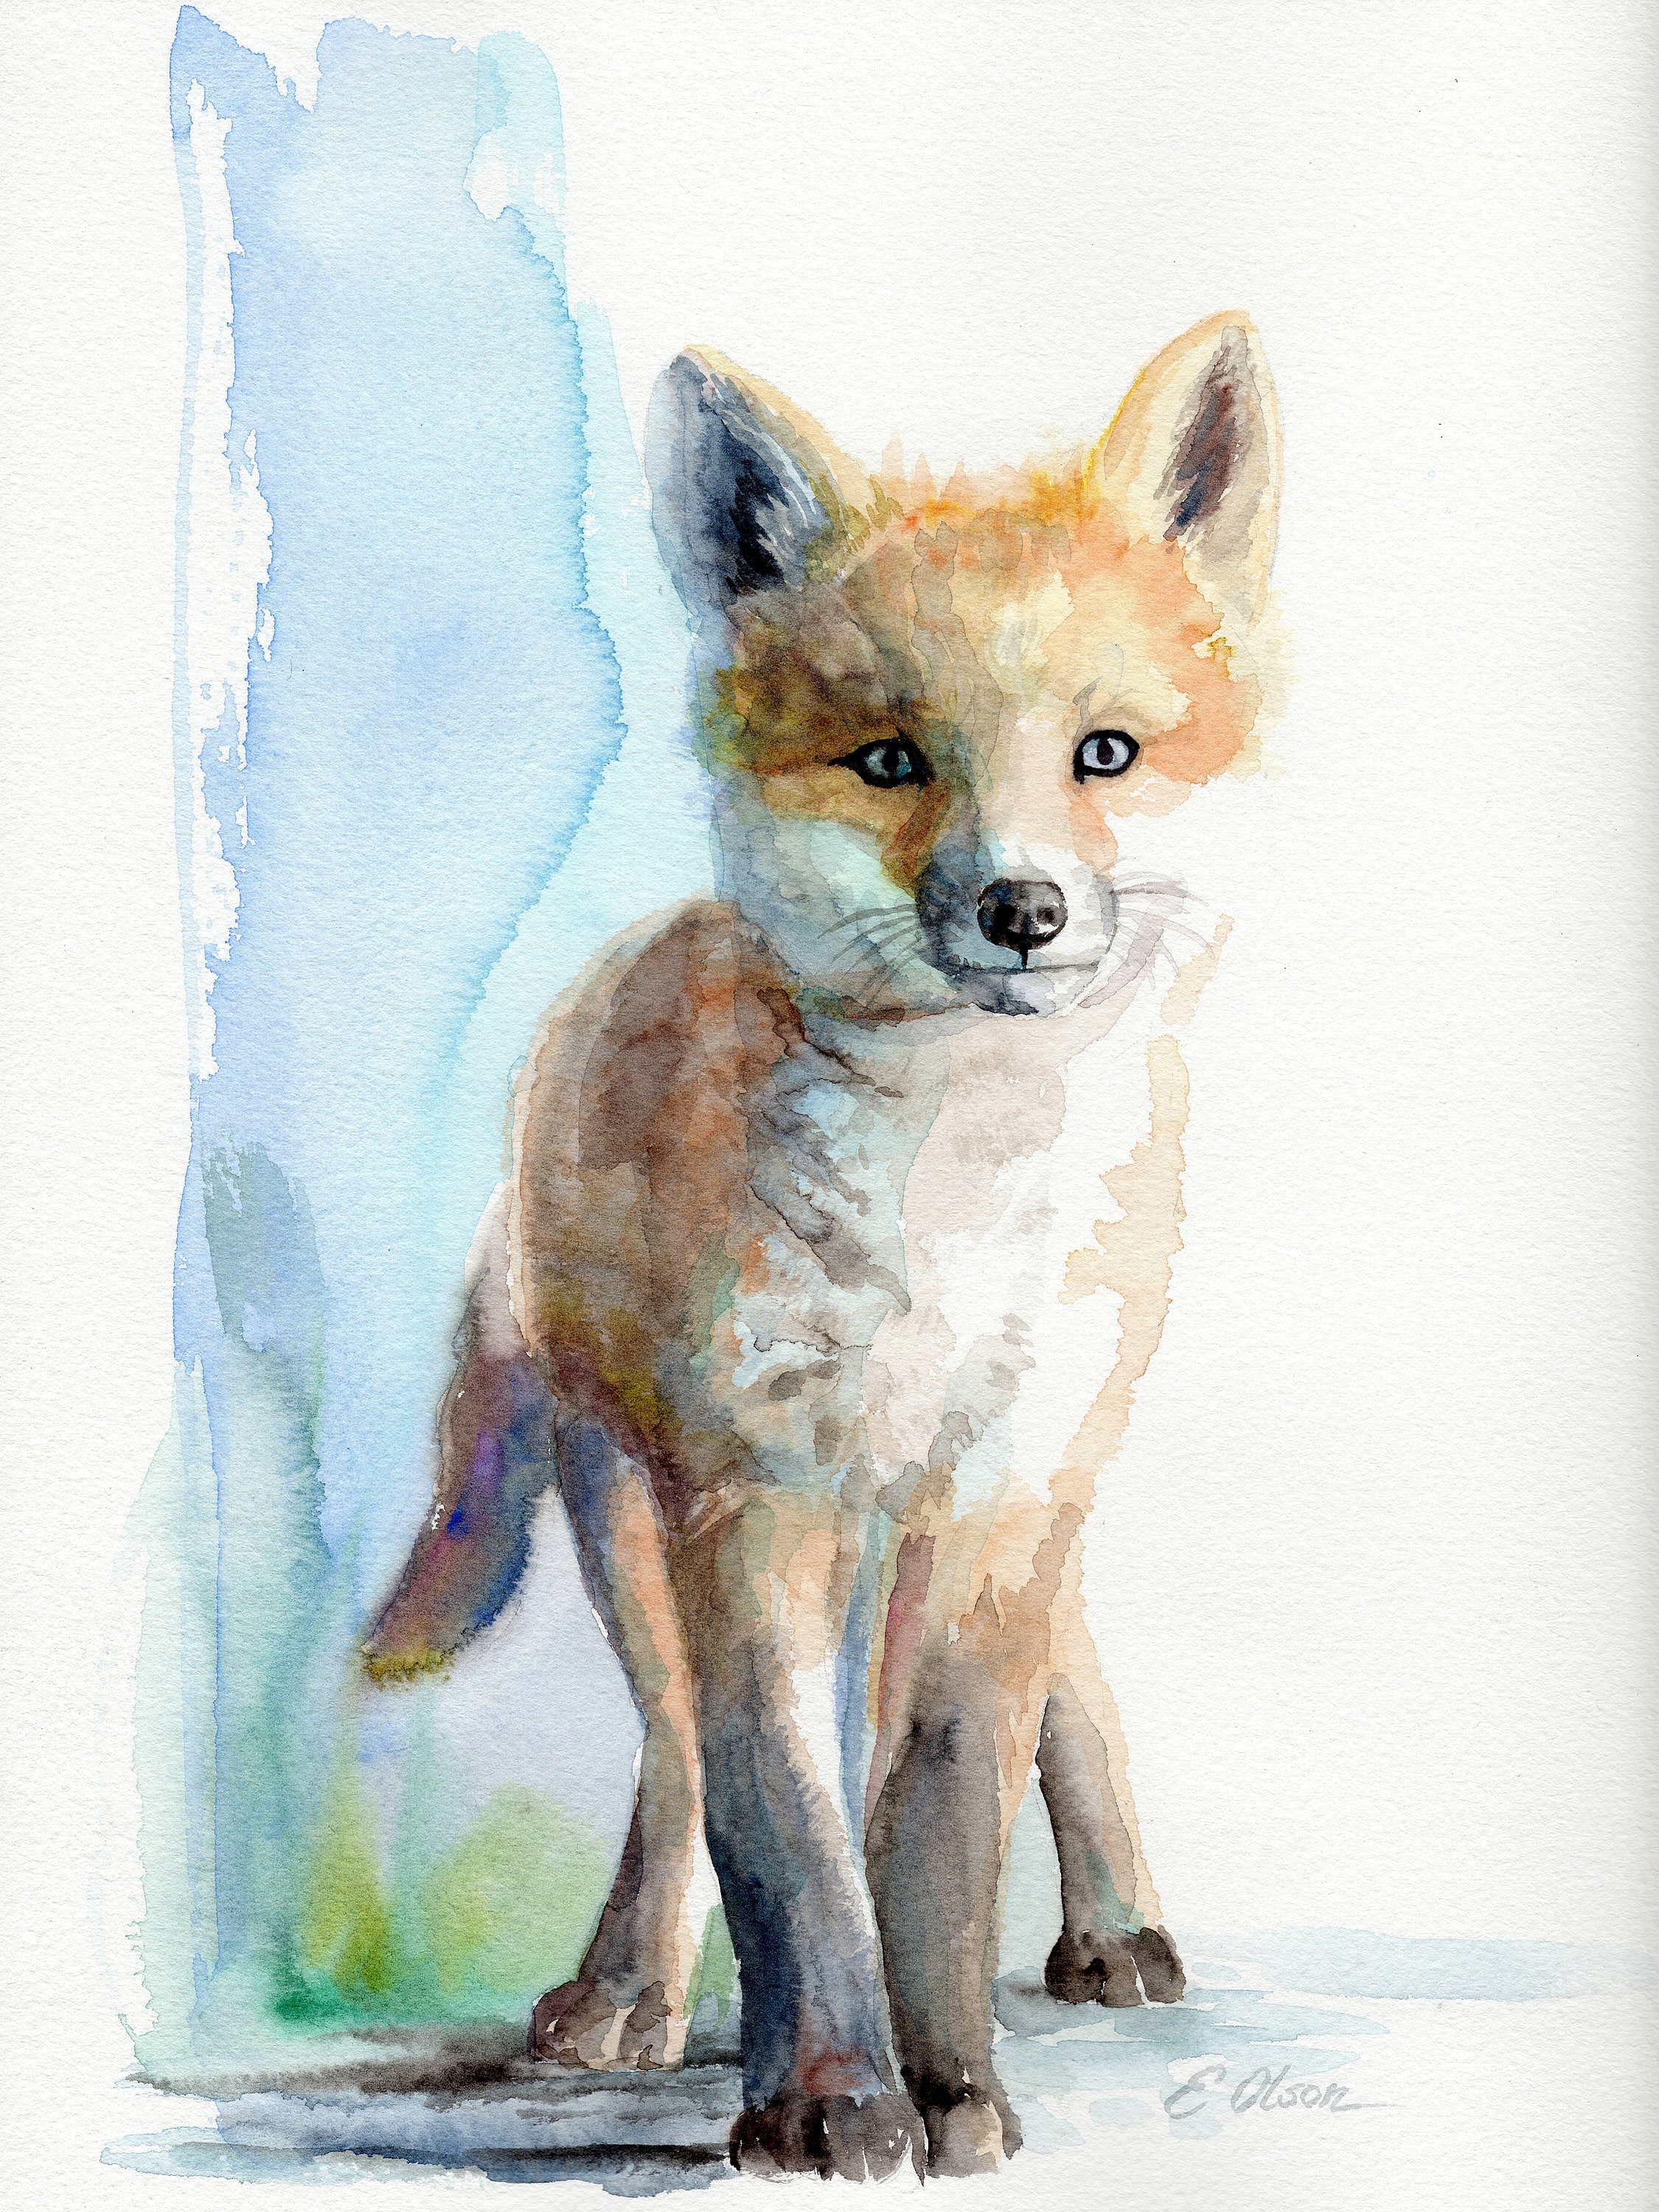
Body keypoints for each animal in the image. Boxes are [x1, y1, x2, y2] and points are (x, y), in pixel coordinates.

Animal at [364, 311, 1283, 2179]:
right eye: (890, 760)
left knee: (1055, 1679)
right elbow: (781, 1824)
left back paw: (1113, 1925)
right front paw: (830, 2097)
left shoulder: (999, 1482)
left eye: (1103, 755)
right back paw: (628, 1994)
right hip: (630, 1507)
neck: (951, 1201)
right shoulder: (751, 1490)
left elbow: (936, 1817)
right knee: (675, 1761)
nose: (1021, 910)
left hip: (1016, 1478)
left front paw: (951, 2090)